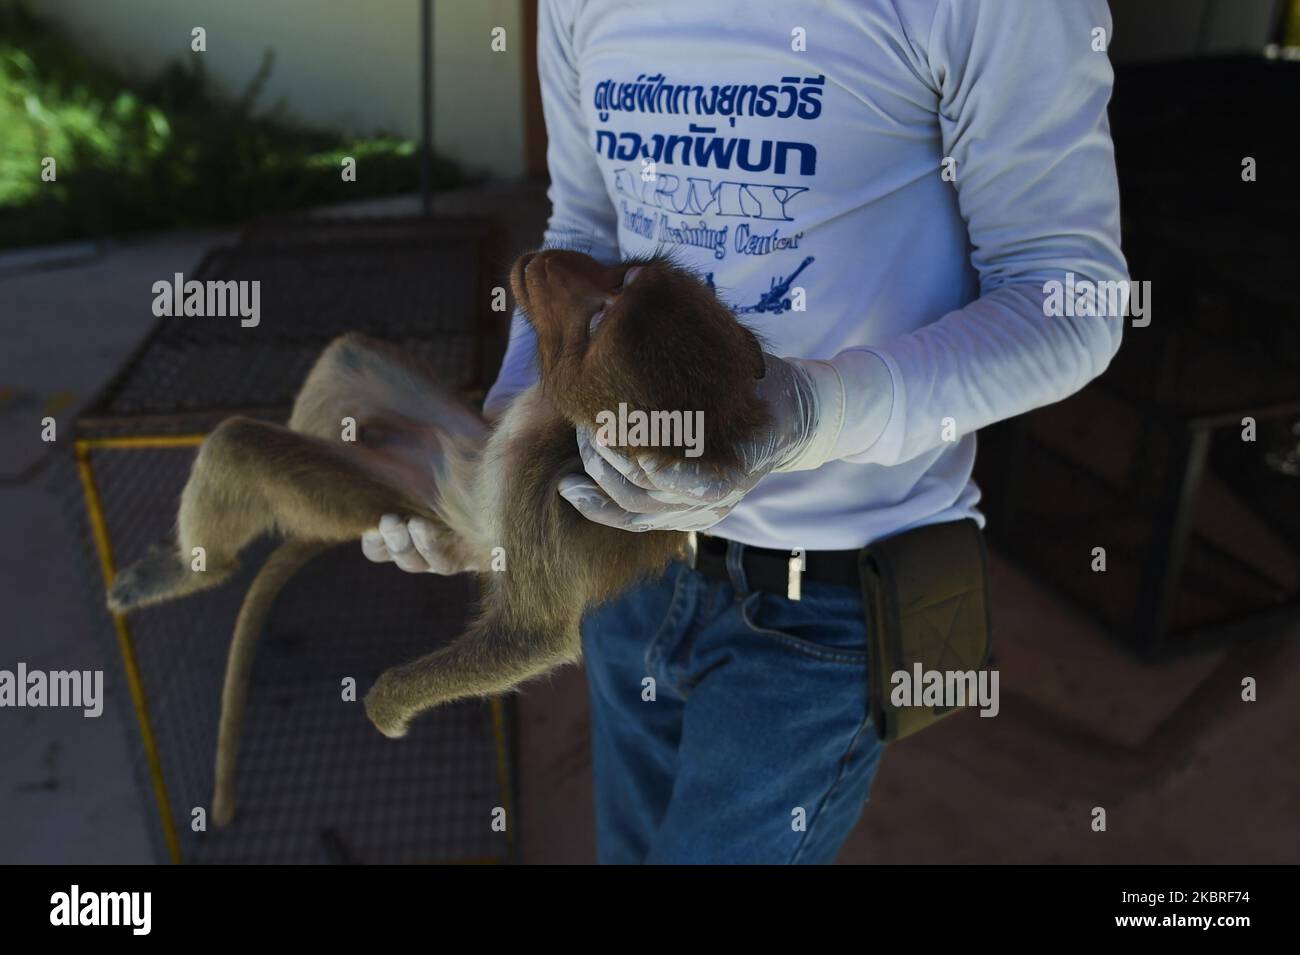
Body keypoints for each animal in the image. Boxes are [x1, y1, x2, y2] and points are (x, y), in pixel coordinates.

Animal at [105, 249, 771, 825]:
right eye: (620, 282)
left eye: (596, 324)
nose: (553, 262)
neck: (558, 420)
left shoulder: (545, 495)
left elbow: (533, 639)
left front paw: (388, 703)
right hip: (437, 443)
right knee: (350, 358)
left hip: (388, 496)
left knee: (240, 443)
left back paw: (195, 570)